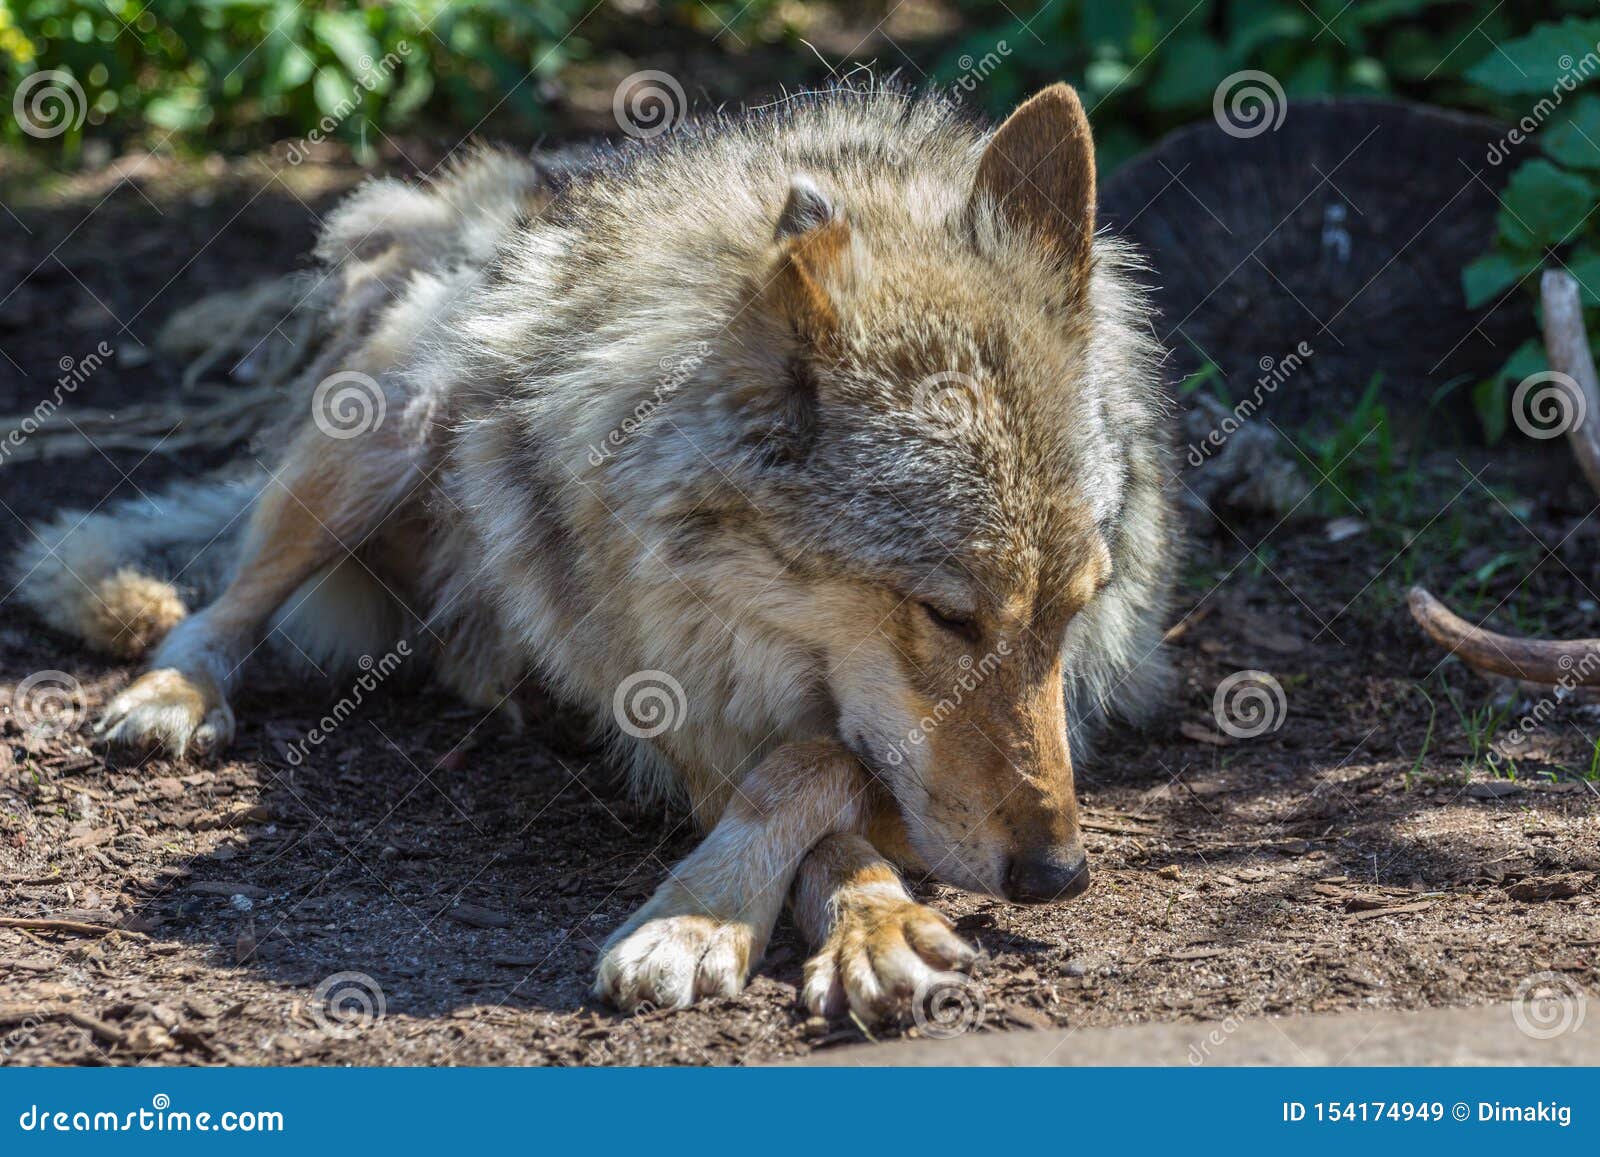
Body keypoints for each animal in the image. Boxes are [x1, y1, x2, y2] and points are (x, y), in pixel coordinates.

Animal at [15, 82, 1174, 1020]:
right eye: (949, 616)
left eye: (1075, 608)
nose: (1060, 875)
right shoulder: (675, 706)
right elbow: (808, 769)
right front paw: (715, 920)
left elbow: (826, 760)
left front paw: (853, 925)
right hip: (397, 418)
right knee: (226, 598)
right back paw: (173, 694)